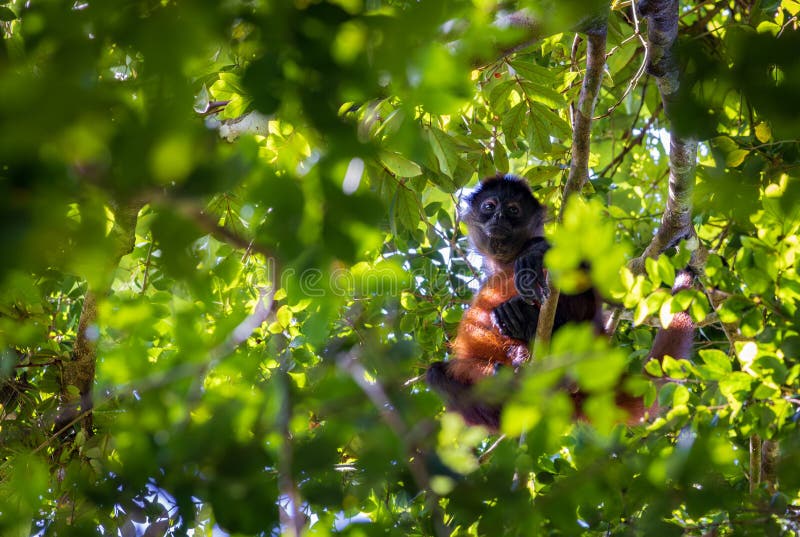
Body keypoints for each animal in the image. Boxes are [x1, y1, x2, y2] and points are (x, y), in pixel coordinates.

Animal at [426, 174, 695, 430]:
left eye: (513, 210)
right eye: (489, 206)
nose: (499, 215)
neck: (506, 261)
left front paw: (535, 253)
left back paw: (527, 326)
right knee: (434, 373)